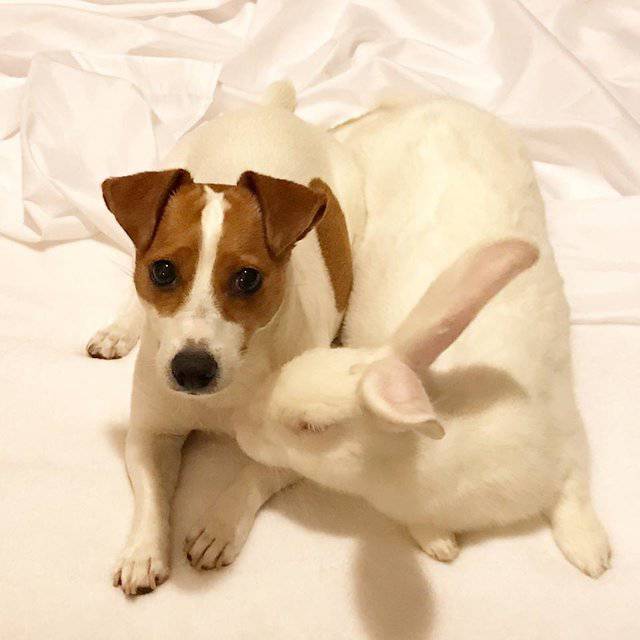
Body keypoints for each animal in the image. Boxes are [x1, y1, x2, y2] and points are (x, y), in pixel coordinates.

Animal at [232, 99, 611, 578]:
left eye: (312, 427)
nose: (239, 428)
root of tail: (413, 103)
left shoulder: (569, 440)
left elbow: (575, 495)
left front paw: (592, 555)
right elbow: (423, 527)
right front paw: (442, 547)